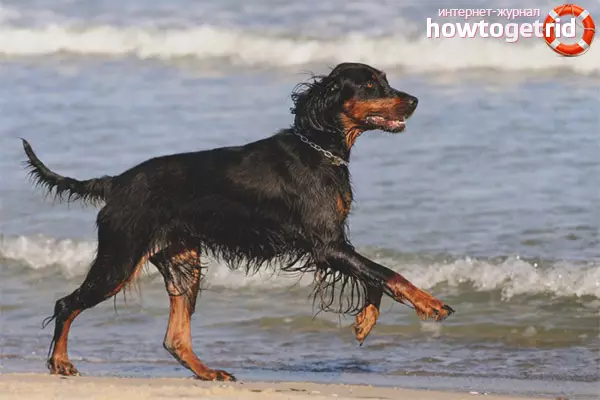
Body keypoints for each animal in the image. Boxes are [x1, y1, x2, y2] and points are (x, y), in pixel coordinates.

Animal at [23, 61, 454, 382]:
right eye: (368, 85)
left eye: (385, 80)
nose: (414, 101)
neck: (320, 148)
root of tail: (117, 182)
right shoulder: (326, 244)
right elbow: (388, 273)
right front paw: (431, 304)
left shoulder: (334, 244)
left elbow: (375, 278)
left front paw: (365, 322)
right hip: (120, 258)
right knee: (66, 303)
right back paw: (60, 362)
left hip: (182, 260)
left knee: (174, 338)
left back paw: (208, 372)